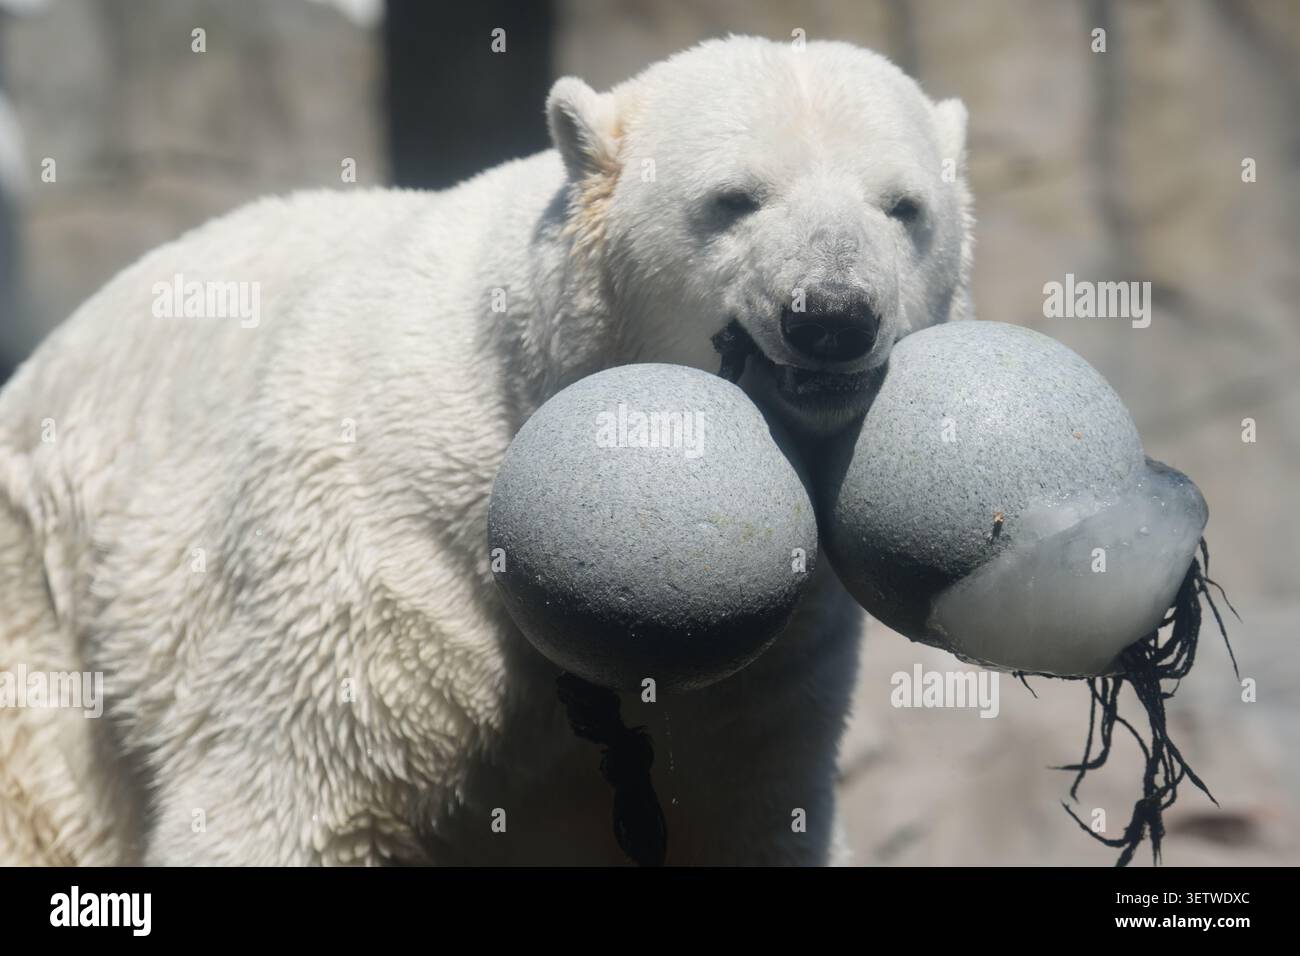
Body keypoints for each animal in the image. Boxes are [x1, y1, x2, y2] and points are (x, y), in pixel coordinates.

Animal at [0, 36, 972, 865]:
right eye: (735, 198)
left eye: (903, 207)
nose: (831, 315)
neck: (537, 399)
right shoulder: (389, 574)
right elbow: (284, 796)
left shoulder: (771, 664)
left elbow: (741, 815)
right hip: (46, 610)